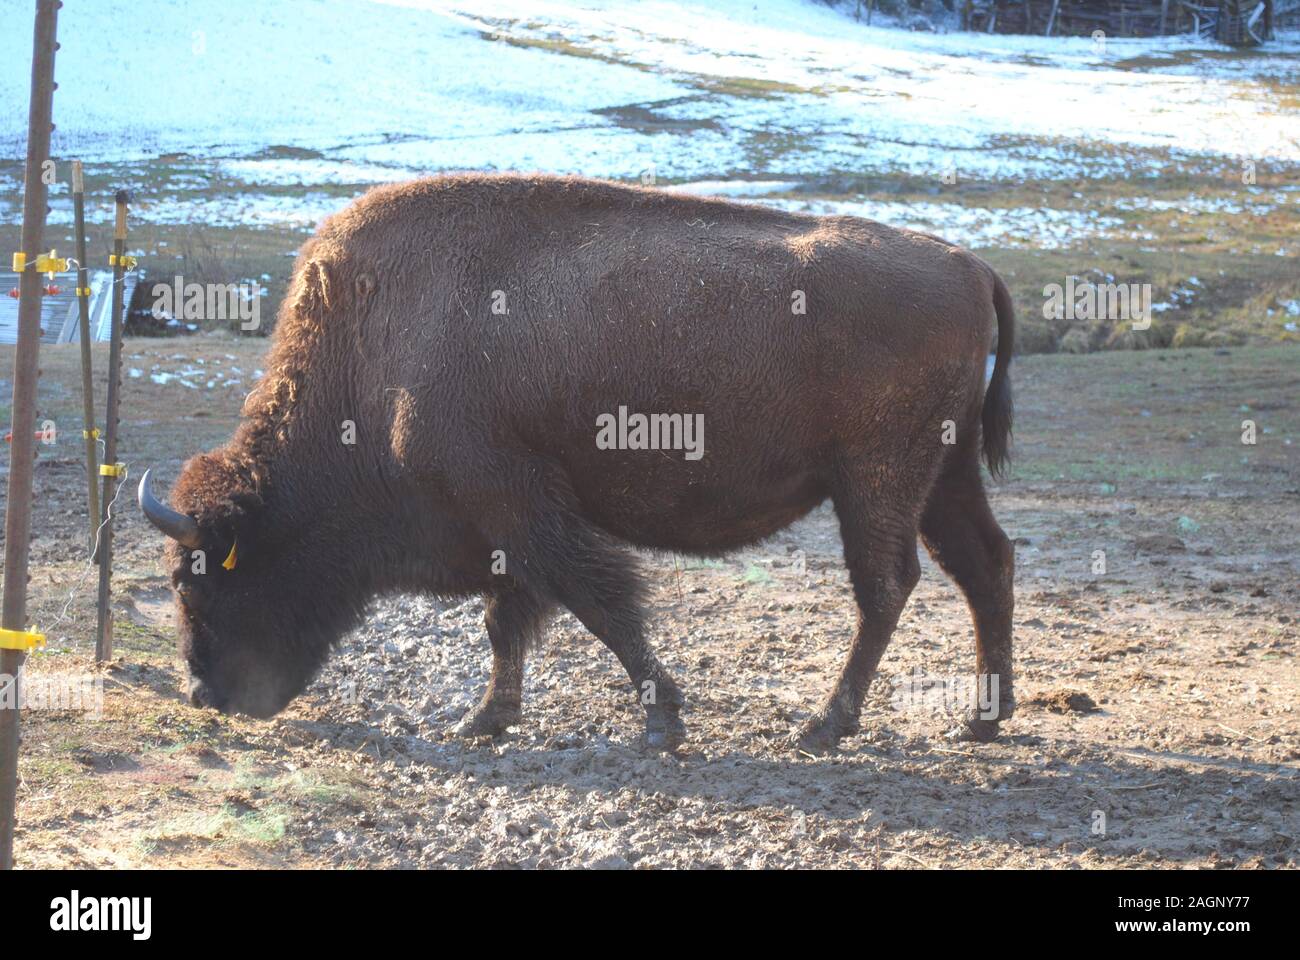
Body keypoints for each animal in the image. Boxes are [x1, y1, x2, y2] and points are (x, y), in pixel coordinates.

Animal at [140, 172, 1016, 753]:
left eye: (194, 578)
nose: (204, 693)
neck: (368, 357)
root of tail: (971, 266)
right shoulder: (505, 523)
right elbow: (509, 621)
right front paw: (484, 720)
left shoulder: (519, 505)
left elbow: (599, 604)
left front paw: (661, 720)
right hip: (943, 477)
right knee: (985, 564)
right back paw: (982, 718)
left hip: (874, 480)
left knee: (887, 586)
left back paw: (824, 727)